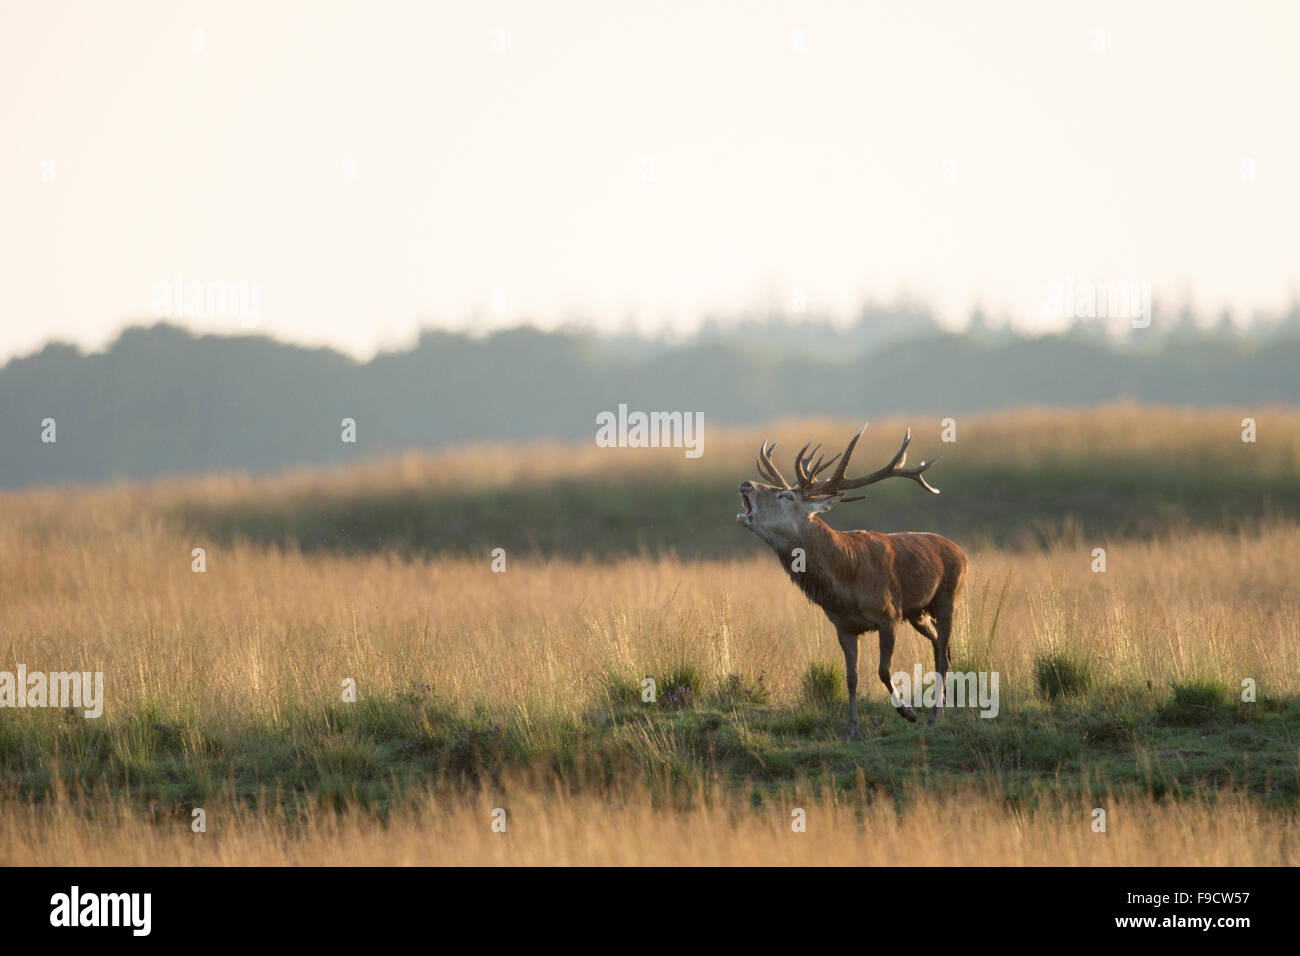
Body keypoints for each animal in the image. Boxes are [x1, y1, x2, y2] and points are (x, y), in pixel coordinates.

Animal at [736, 423, 967, 738]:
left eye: (786, 496)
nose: (746, 484)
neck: (845, 585)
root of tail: (962, 552)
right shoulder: (843, 626)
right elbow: (851, 677)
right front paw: (851, 728)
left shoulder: (888, 615)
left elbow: (883, 670)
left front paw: (907, 712)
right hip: (918, 613)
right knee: (941, 648)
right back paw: (942, 705)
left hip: (948, 597)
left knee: (943, 652)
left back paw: (933, 716)